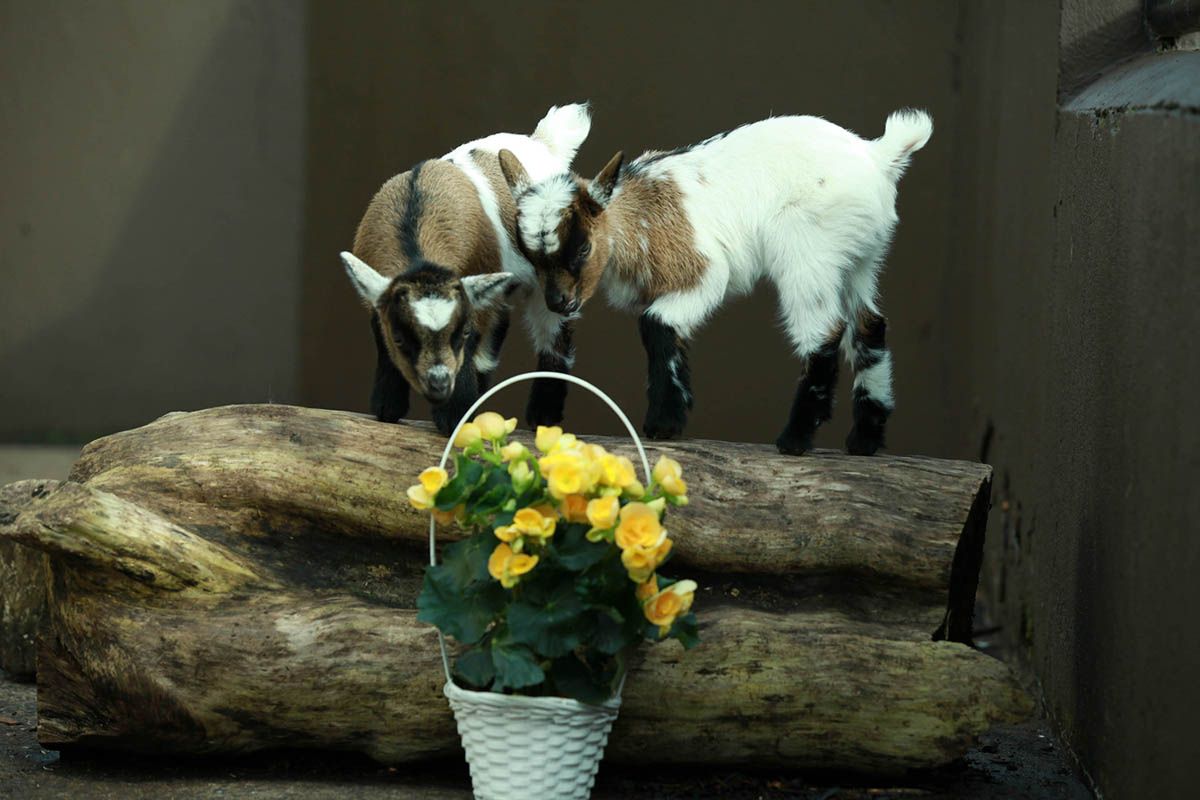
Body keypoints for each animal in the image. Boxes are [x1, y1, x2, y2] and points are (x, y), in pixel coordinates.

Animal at [341, 103, 592, 435]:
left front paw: (456, 416)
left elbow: (475, 349)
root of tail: (543, 142)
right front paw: (388, 407)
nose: (438, 385)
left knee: (553, 331)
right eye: (400, 338)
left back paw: (544, 414)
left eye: (460, 333)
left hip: (555, 278)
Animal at [498, 109, 932, 455]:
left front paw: (663, 422)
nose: (558, 302)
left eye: (583, 248)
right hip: (861, 259)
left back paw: (795, 439)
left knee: (825, 331)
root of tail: (878, 156)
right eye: (531, 255)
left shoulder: (704, 273)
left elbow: (655, 324)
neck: (634, 215)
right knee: (869, 327)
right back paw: (865, 440)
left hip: (807, 252)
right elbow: (667, 333)